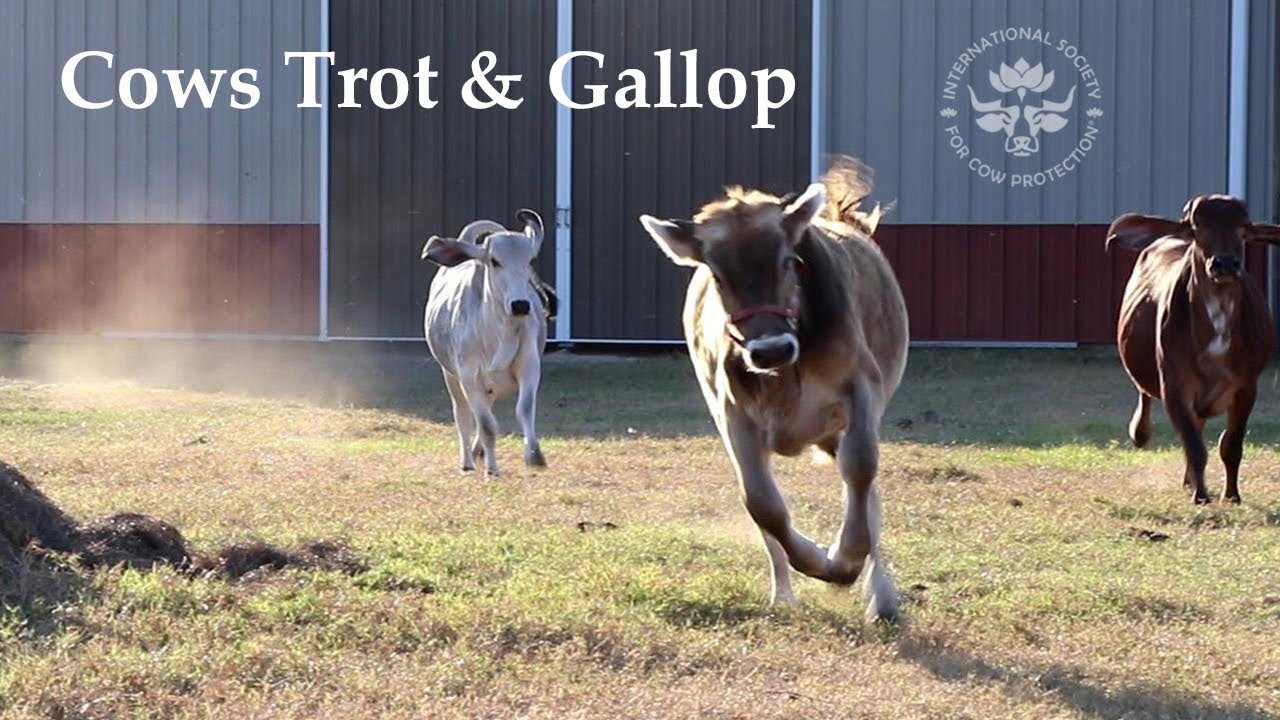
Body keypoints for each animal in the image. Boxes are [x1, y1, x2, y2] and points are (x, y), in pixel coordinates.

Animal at [421, 210, 553, 477]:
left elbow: (524, 409)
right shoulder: (468, 377)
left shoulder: (529, 367)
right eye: (495, 261)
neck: (499, 333)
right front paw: (492, 469)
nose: (521, 305)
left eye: (529, 261)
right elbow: (485, 424)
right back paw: (468, 461)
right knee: (463, 416)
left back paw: (478, 450)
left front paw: (534, 455)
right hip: (451, 377)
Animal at [638, 160, 908, 621]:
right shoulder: (732, 414)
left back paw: (882, 597)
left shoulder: (862, 389)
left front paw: (845, 561)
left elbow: (860, 471)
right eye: (717, 274)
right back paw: (783, 594)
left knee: (867, 493)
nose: (770, 349)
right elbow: (762, 503)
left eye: (787, 261)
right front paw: (816, 560)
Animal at [1108, 195, 1280, 504]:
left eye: (1243, 226)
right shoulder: (1174, 386)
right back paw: (1141, 433)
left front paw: (1231, 495)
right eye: (1198, 226)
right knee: (1146, 398)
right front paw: (1201, 495)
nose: (1225, 263)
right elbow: (1194, 445)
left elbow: (1230, 445)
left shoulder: (1247, 386)